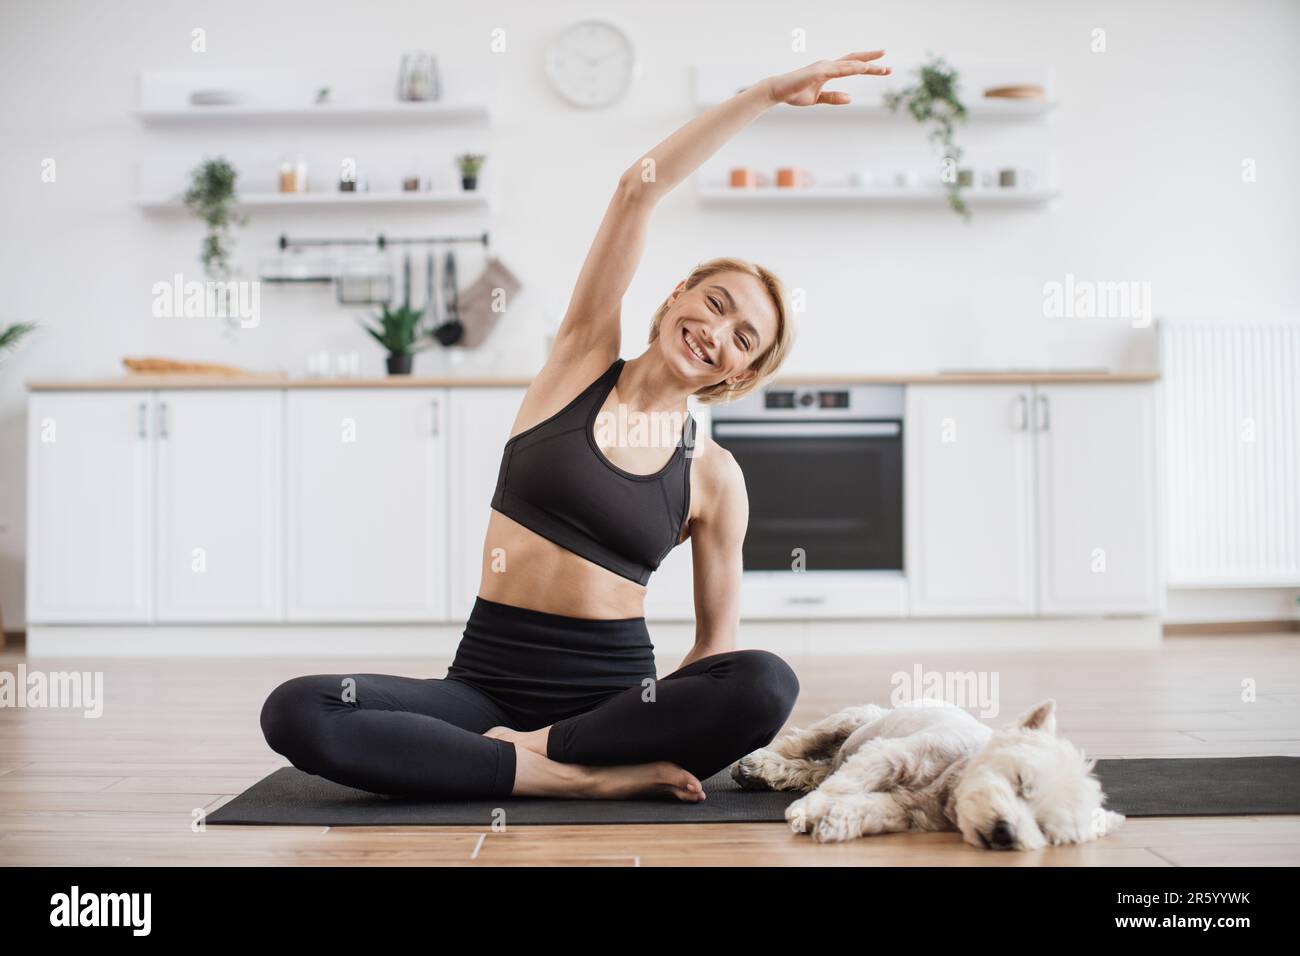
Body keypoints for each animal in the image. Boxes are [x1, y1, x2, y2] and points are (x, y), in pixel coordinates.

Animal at [733, 697, 1128, 853]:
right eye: (1020, 783)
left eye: (1046, 830)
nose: (1005, 833)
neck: (946, 789)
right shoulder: (895, 755)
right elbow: (850, 781)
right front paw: (806, 812)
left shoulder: (905, 810)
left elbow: (867, 808)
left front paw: (835, 822)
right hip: (852, 721)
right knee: (801, 744)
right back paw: (755, 762)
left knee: (812, 771)